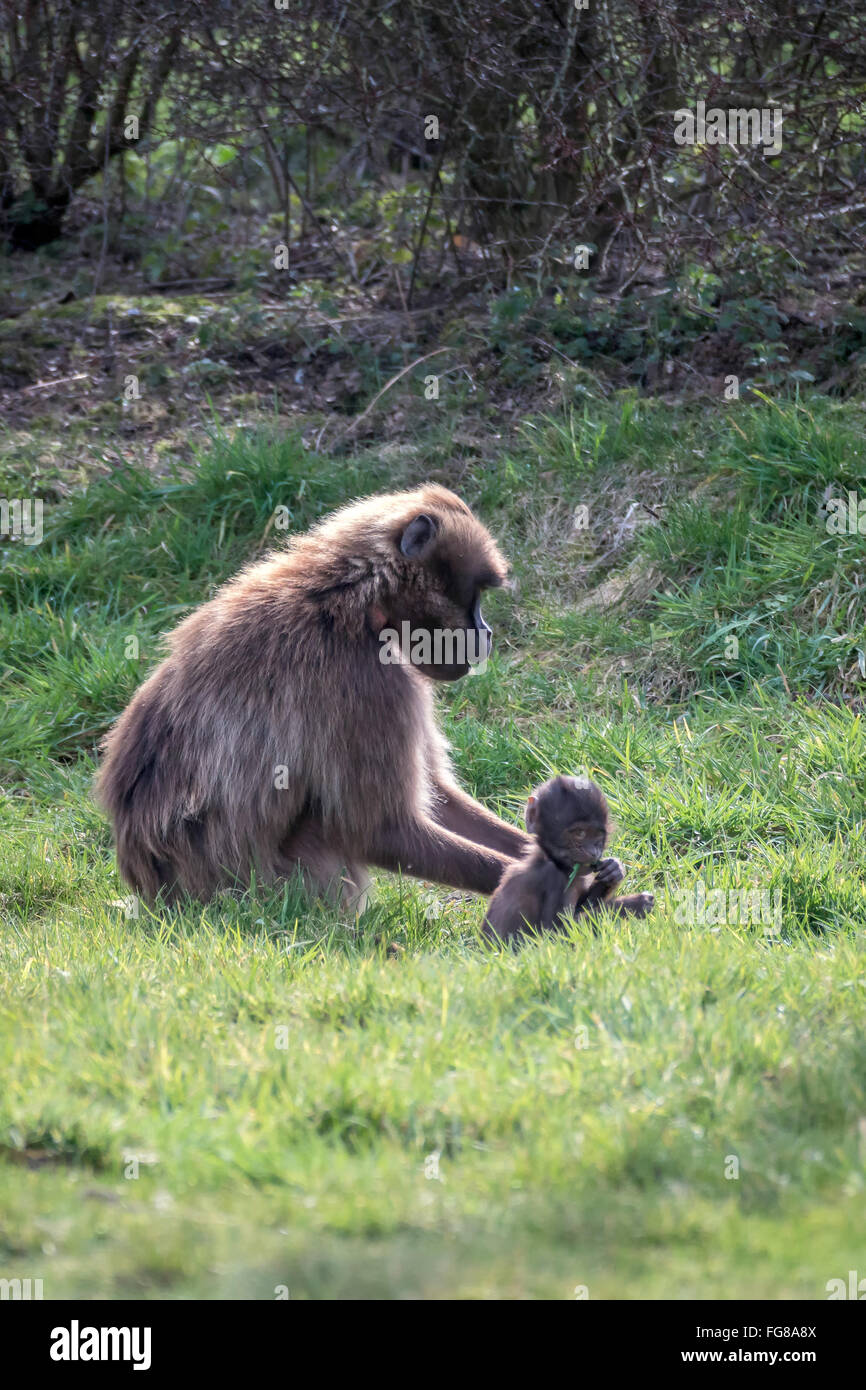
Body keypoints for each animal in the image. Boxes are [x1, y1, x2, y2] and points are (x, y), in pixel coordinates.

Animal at [95, 484, 532, 907]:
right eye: (476, 595)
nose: (487, 634)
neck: (352, 599)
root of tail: (157, 896)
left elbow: (438, 798)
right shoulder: (367, 680)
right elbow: (381, 829)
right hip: (269, 891)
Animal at [482, 774, 654, 943]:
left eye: (598, 834)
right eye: (580, 833)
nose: (593, 851)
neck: (551, 860)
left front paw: (614, 870)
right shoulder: (552, 878)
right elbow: (556, 935)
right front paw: (634, 905)